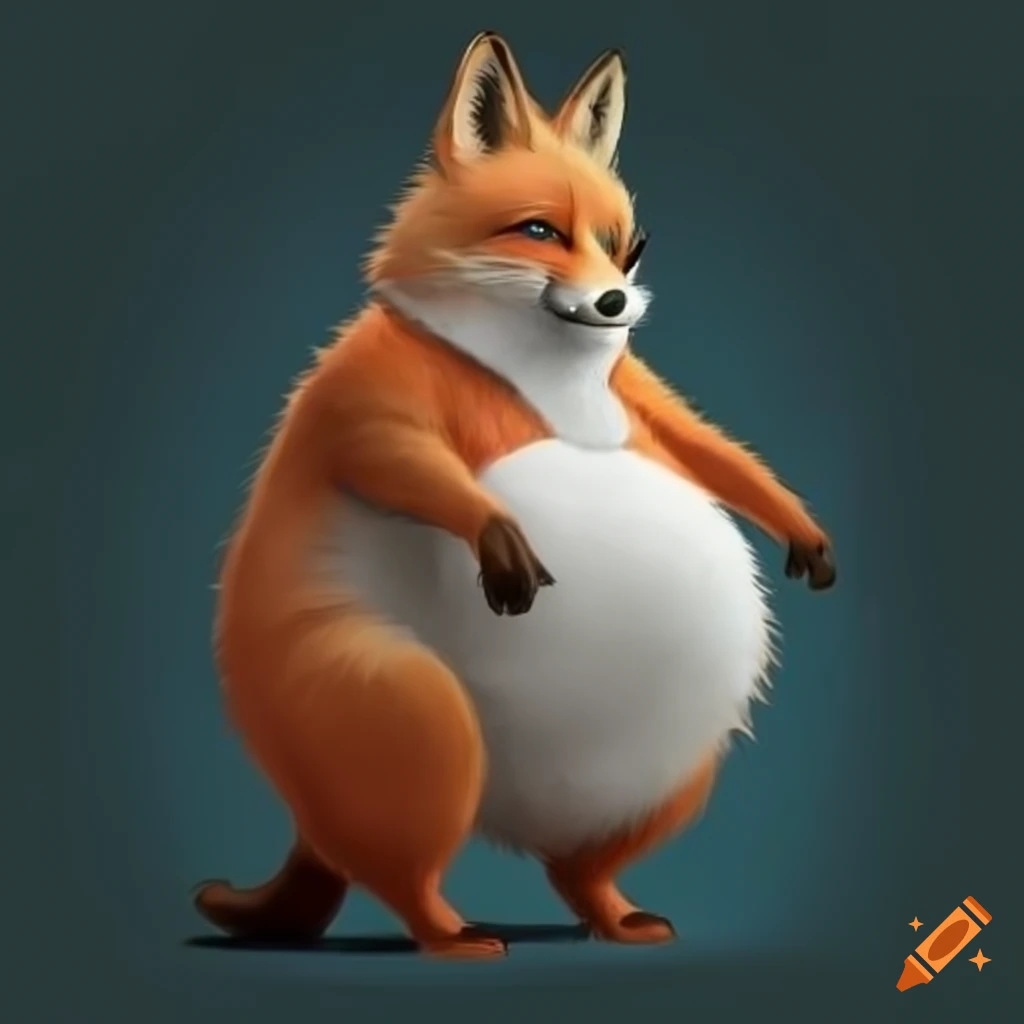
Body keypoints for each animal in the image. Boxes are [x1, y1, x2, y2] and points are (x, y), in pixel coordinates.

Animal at [193, 31, 836, 960]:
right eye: (539, 231)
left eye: (627, 247)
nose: (614, 301)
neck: (542, 374)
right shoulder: (369, 406)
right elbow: (410, 466)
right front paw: (499, 538)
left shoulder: (643, 400)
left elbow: (716, 453)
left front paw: (799, 526)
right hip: (421, 715)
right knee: (403, 875)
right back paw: (451, 936)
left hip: (672, 767)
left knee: (570, 871)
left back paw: (613, 917)